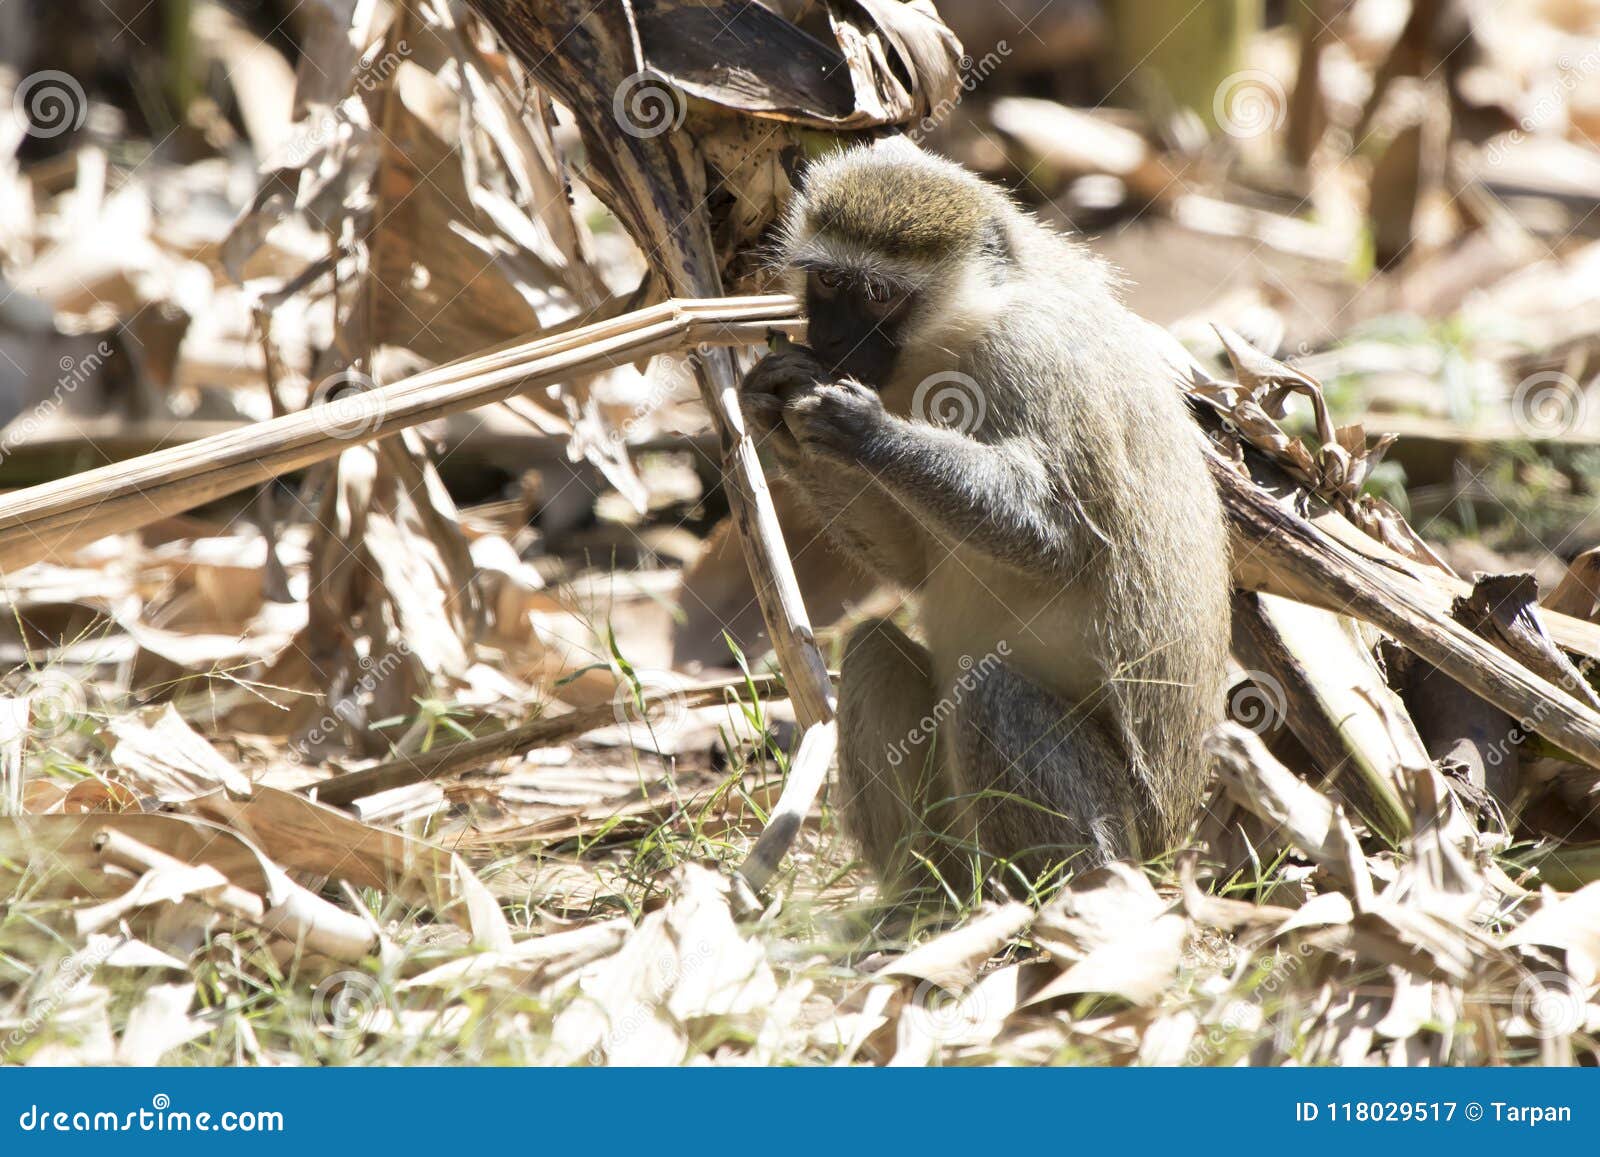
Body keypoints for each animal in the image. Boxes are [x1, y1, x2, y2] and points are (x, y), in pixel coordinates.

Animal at [739, 137, 1231, 900]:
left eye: (878, 295)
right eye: (828, 282)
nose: (830, 336)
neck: (962, 332)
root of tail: (1169, 845)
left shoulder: (1030, 358)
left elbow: (1061, 538)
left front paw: (862, 430)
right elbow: (914, 563)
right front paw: (772, 400)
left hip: (1122, 833)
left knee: (990, 694)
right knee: (875, 649)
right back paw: (917, 899)